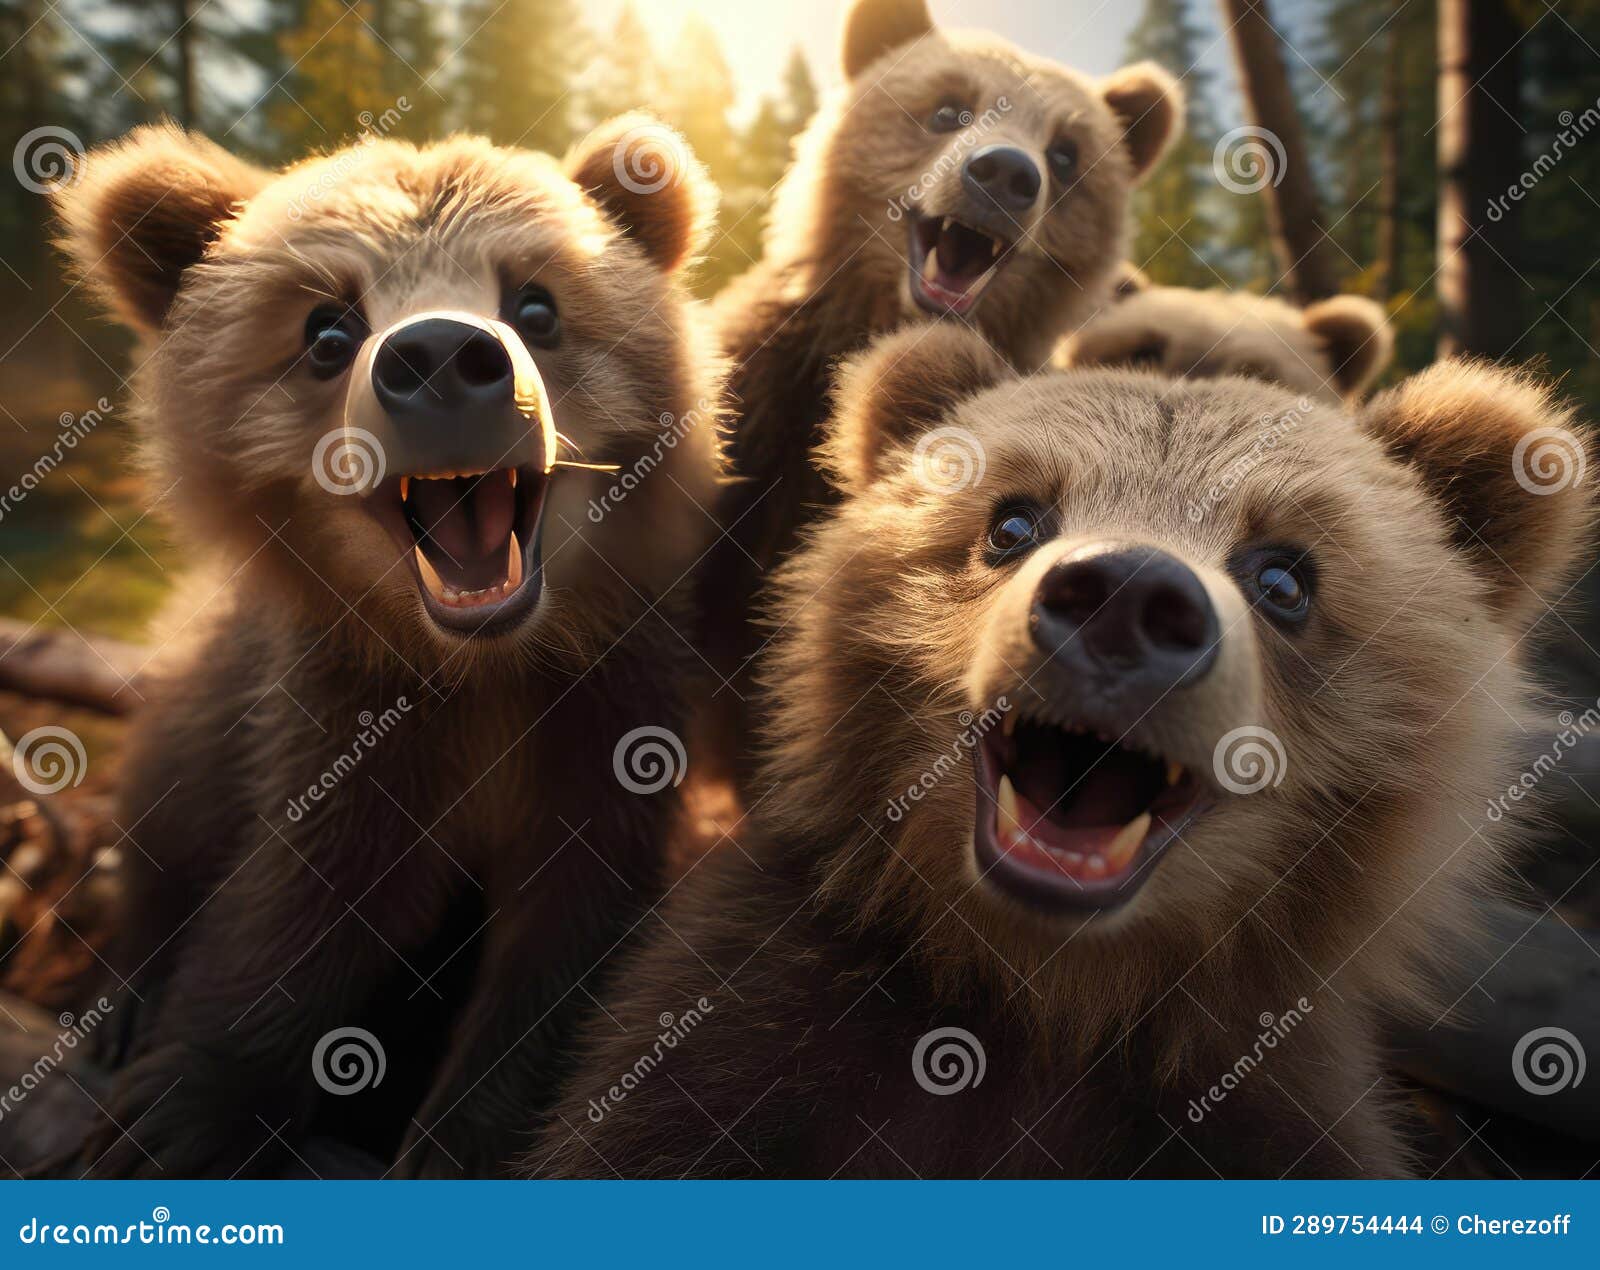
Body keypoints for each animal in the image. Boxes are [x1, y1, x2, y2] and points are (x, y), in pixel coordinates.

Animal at [47, 116, 720, 1177]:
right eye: (327, 329)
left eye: (536, 302)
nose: (444, 356)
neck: (483, 667)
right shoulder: (344, 712)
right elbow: (306, 902)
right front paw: (173, 1114)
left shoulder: (607, 713)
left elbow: (562, 945)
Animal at [530, 325, 1592, 1178]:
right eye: (1012, 519)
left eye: (1285, 576)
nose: (1125, 598)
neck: (1047, 993)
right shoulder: (748, 1044)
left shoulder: (1265, 1119)